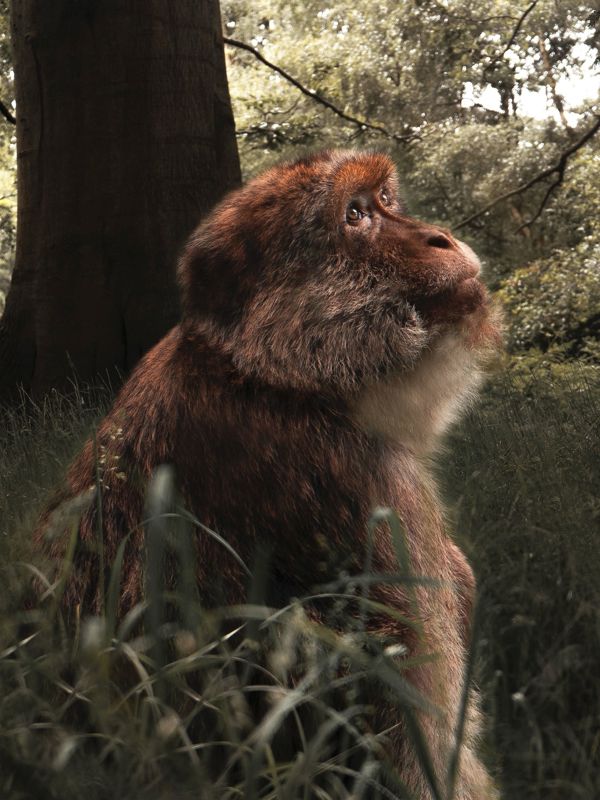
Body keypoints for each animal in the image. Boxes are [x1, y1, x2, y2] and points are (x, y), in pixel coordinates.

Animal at [35, 150, 501, 798]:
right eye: (356, 215)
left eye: (386, 201)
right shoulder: (357, 487)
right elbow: (412, 745)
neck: (275, 377)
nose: (441, 237)